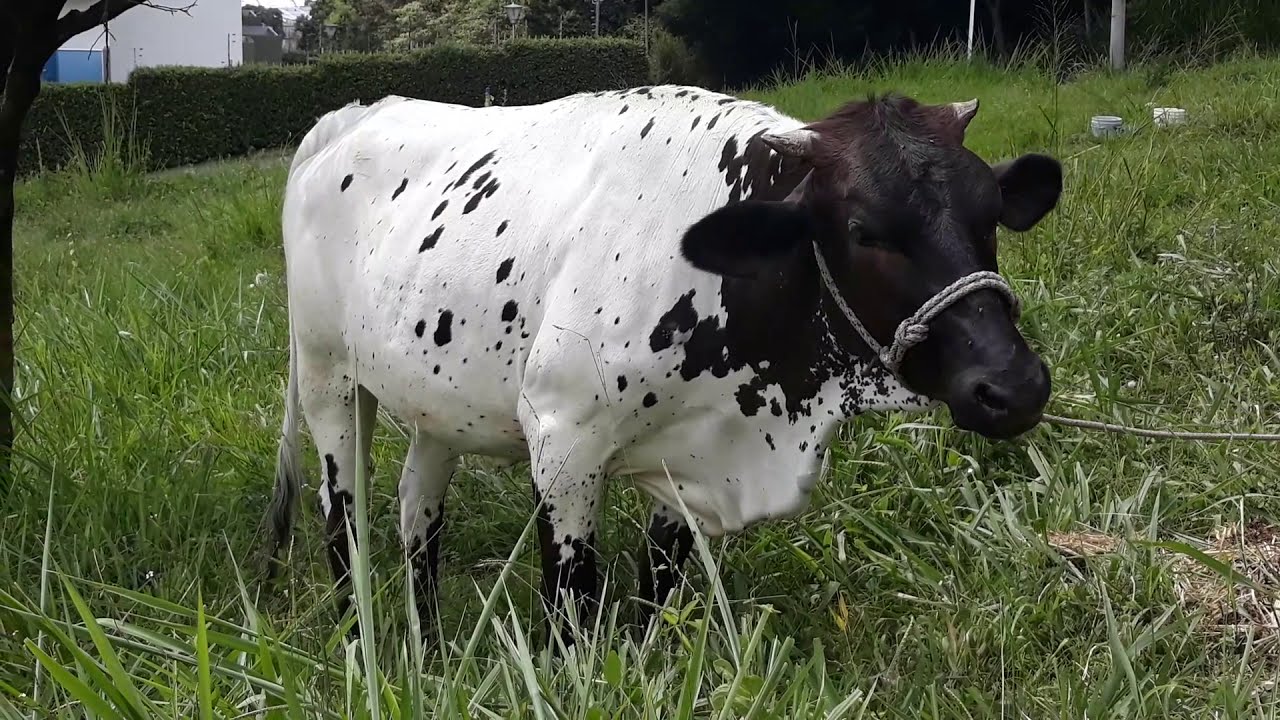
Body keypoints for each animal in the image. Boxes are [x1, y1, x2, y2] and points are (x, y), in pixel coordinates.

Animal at [265, 84, 1062, 646]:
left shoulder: (689, 451)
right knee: (343, 519)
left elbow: (658, 584)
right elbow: (572, 602)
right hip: (329, 381)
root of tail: (353, 115)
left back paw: (427, 646)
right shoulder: (562, 439)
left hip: (435, 401)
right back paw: (359, 639)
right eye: (864, 230)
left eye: (989, 214)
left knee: (417, 515)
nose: (1014, 386)